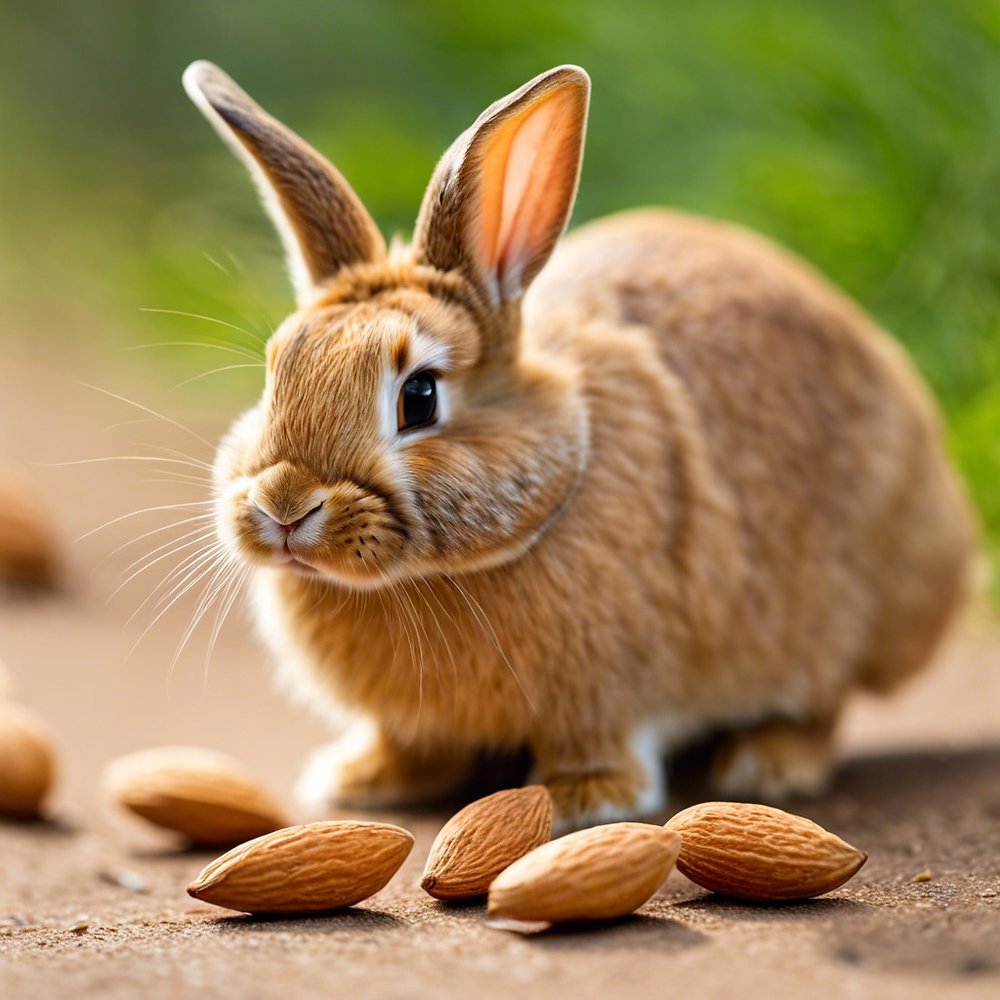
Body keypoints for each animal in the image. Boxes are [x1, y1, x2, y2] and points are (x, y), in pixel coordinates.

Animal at [183, 61, 975, 827]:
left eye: (420, 397)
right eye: (275, 369)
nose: (286, 508)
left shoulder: (605, 692)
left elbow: (596, 740)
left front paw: (584, 800)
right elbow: (410, 743)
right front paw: (362, 781)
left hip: (837, 613)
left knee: (823, 698)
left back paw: (767, 763)